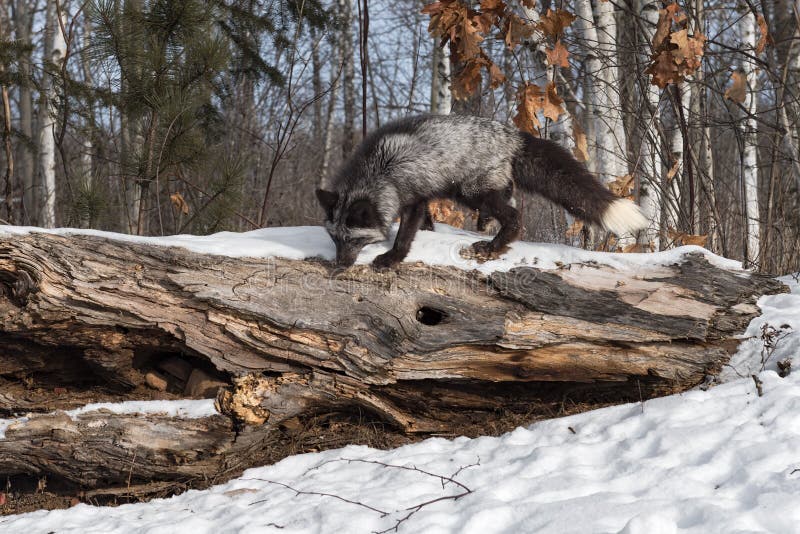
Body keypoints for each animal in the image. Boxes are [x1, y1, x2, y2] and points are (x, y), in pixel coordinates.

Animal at [316, 114, 647, 269]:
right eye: (335, 238)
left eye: (354, 239)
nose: (339, 265)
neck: (380, 171)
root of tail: (514, 135)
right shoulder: (422, 199)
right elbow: (426, 225)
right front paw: (429, 234)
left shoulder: (414, 199)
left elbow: (404, 236)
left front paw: (392, 257)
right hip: (477, 192)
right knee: (507, 198)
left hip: (472, 192)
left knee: (514, 216)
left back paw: (494, 245)